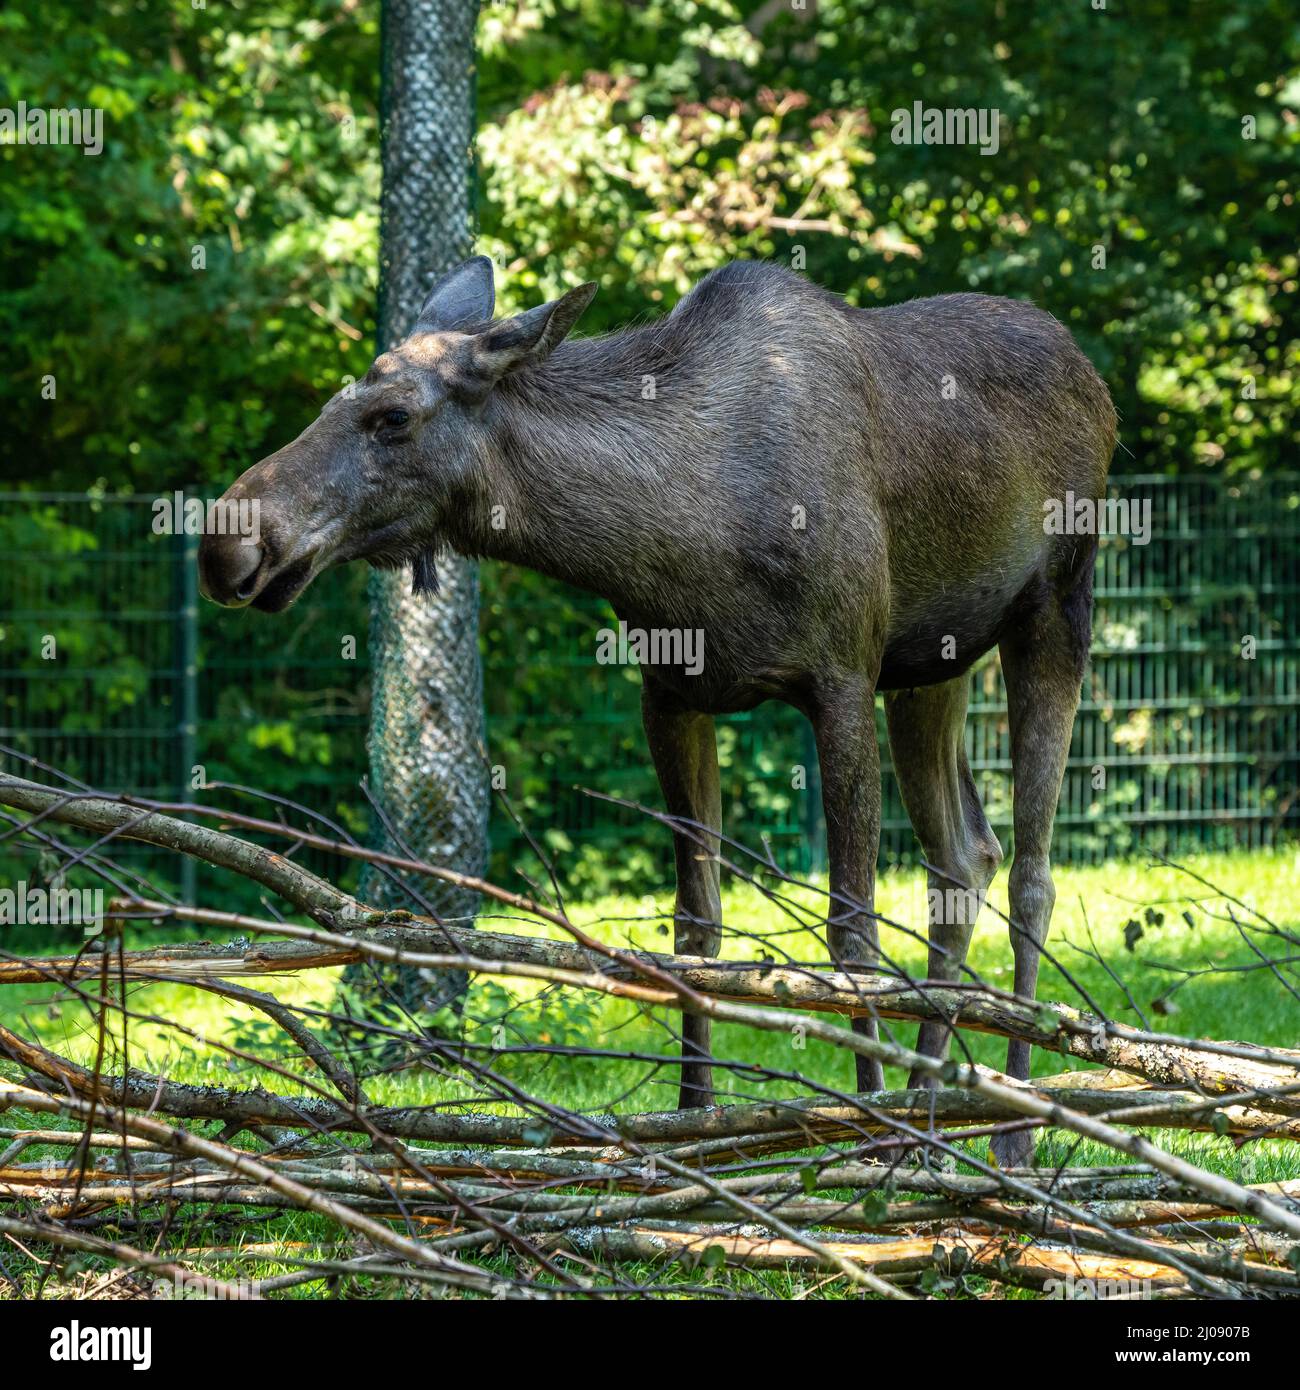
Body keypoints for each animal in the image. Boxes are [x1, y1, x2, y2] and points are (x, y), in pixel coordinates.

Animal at [199, 257, 1116, 1166]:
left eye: (392, 416)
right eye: (334, 400)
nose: (226, 541)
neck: (672, 539)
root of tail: (1096, 383)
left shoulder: (842, 678)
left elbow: (851, 931)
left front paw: (867, 1128)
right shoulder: (671, 694)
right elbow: (694, 927)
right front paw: (694, 1120)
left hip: (1054, 607)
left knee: (1031, 873)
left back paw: (1012, 1129)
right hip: (932, 664)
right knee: (963, 858)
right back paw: (938, 1107)